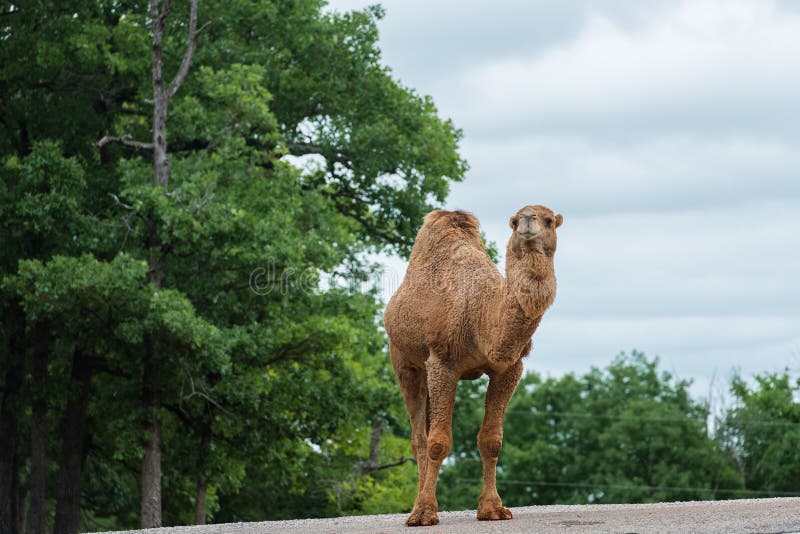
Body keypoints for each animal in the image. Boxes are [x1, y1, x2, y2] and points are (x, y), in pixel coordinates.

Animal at [383, 205, 563, 526]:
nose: (528, 222)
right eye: (514, 221)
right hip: (404, 362)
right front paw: (424, 513)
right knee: (419, 438)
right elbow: (438, 442)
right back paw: (418, 507)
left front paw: (492, 509)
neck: (482, 316)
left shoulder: (510, 367)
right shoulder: (442, 362)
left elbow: (491, 440)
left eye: (549, 220)